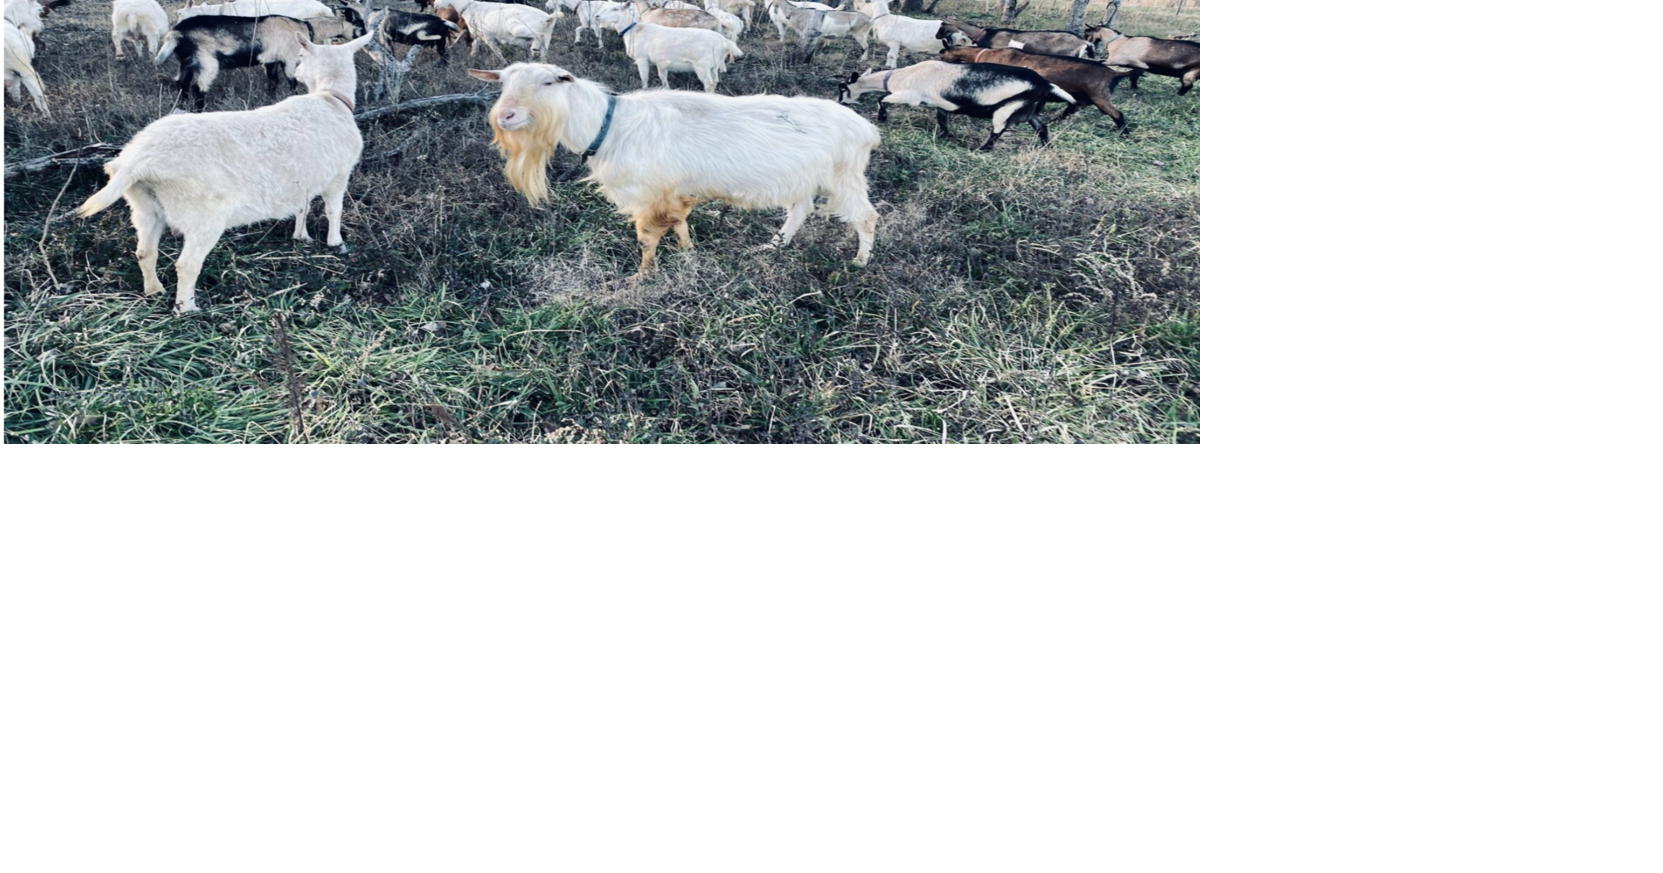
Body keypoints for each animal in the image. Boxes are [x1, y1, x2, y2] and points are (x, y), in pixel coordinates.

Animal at [78, 33, 376, 313]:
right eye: (301, 54)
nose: (298, 73)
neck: (330, 98)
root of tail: (136, 162)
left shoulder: (303, 179)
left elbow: (302, 207)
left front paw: (301, 237)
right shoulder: (339, 174)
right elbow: (333, 210)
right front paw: (335, 243)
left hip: (145, 207)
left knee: (145, 252)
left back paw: (154, 291)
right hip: (203, 213)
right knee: (187, 264)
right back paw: (187, 309)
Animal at [154, 14, 314, 111]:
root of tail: (176, 33)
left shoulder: (271, 61)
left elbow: (273, 81)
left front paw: (270, 100)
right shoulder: (289, 60)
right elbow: (292, 82)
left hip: (187, 62)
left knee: (182, 83)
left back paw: (183, 107)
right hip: (206, 61)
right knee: (198, 88)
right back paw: (199, 111)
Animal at [469, 62, 880, 278]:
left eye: (548, 81)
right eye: (502, 83)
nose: (506, 116)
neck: (610, 125)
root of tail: (867, 129)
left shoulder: (648, 194)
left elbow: (647, 238)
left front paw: (642, 275)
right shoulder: (672, 191)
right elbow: (679, 222)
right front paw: (687, 252)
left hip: (844, 176)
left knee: (866, 217)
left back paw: (860, 261)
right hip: (804, 178)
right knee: (801, 209)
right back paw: (773, 245)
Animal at [837, 60, 1072, 150]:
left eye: (843, 88)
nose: (840, 103)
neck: (898, 77)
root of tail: (1045, 84)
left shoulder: (909, 96)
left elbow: (882, 99)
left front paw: (882, 117)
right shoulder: (941, 104)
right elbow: (942, 120)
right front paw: (944, 136)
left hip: (1007, 109)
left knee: (997, 131)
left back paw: (981, 149)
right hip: (1027, 110)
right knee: (1042, 126)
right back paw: (1046, 148)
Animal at [939, 45, 1130, 132]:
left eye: (942, 54)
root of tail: (1113, 73)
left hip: (1100, 97)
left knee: (1117, 114)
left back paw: (1124, 134)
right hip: (1082, 99)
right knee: (1069, 110)